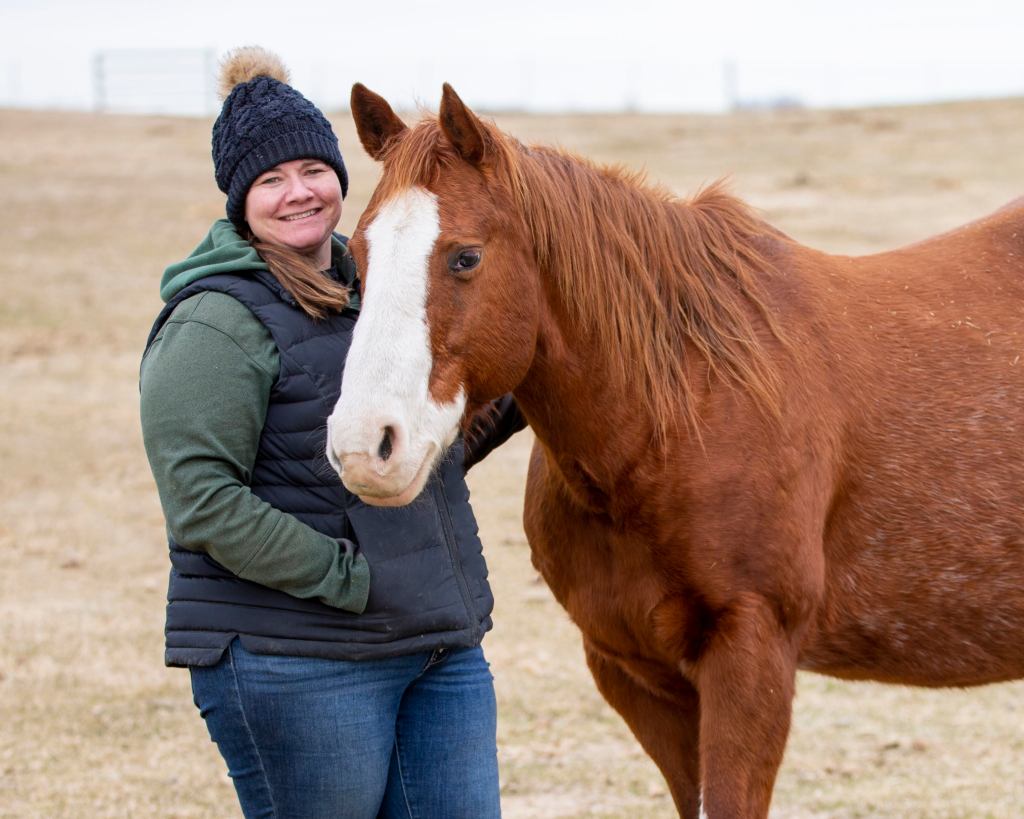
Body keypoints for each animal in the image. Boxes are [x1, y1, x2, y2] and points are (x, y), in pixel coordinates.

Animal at [326, 83, 1024, 818]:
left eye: (465, 257)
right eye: (359, 258)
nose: (366, 445)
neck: (680, 411)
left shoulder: (750, 657)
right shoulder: (635, 674)